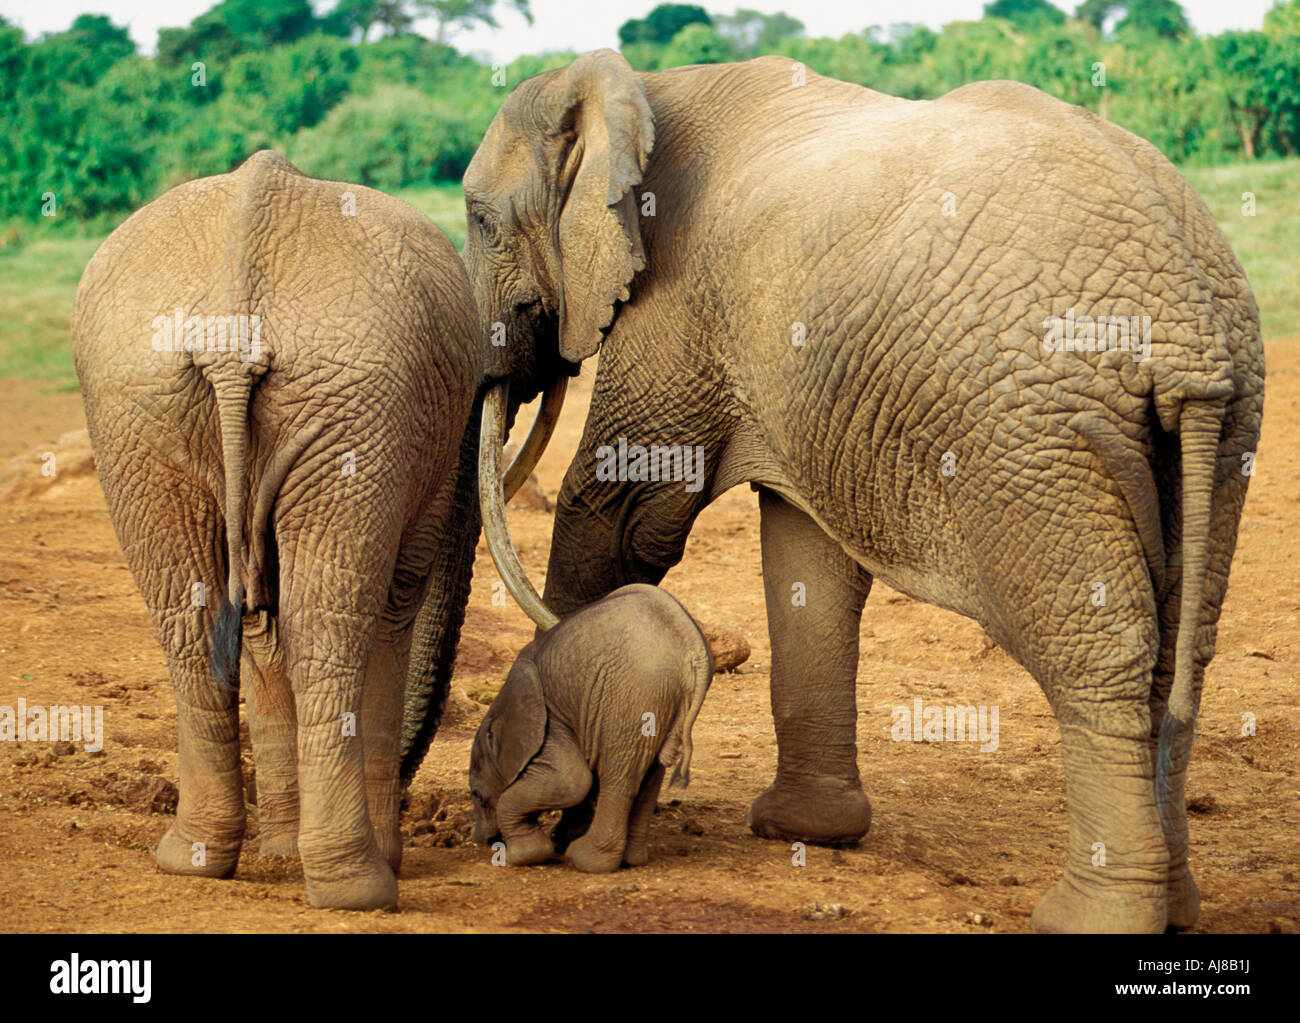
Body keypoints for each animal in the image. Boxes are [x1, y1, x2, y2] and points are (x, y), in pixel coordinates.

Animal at [71, 150, 482, 910]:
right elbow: (395, 598)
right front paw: (331, 857)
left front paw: (283, 854)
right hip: (312, 401)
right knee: (325, 619)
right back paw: (356, 884)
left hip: (169, 407)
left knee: (199, 612)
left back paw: (197, 858)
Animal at [468, 583, 712, 871]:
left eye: (476, 794)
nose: (479, 839)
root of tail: (694, 652)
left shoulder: (550, 720)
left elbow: (571, 781)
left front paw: (524, 856)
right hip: (661, 704)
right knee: (649, 776)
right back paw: (631, 860)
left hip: (631, 698)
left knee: (620, 778)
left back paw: (584, 859)